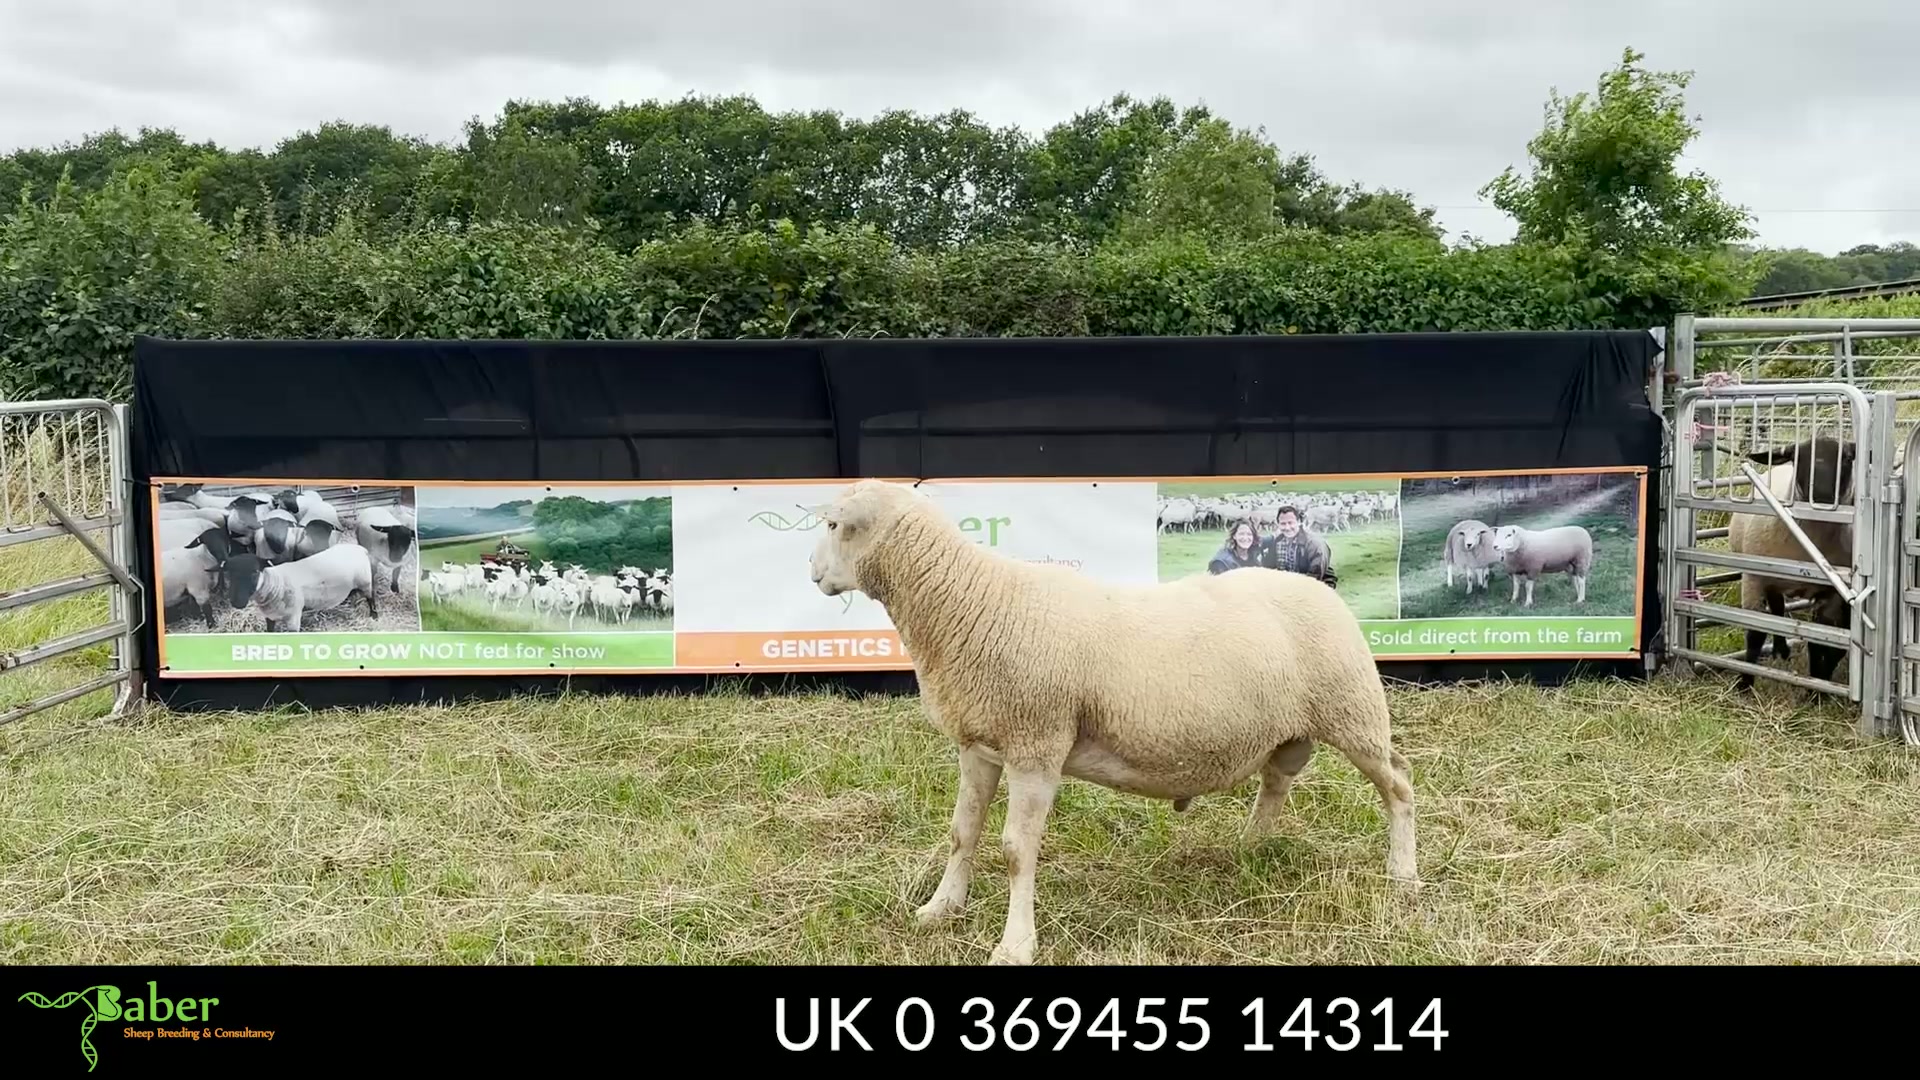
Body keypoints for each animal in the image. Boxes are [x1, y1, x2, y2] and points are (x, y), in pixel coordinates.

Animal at [221, 543, 376, 632]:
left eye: (255, 571)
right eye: (228, 573)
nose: (237, 602)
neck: (276, 583)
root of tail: (360, 548)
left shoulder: (293, 619)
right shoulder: (269, 616)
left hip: (365, 581)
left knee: (371, 597)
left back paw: (374, 615)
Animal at [804, 479, 1417, 966]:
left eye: (835, 524)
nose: (811, 574)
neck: (969, 602)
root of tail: (1322, 586)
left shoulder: (1037, 744)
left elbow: (1015, 850)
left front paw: (1014, 945)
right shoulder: (979, 742)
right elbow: (962, 832)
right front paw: (940, 908)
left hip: (1354, 710)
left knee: (1399, 785)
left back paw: (1403, 873)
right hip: (1288, 723)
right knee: (1276, 782)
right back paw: (1249, 848)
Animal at [1727, 436, 1858, 690]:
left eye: (1847, 458)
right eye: (1797, 458)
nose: (1822, 496)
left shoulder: (1830, 593)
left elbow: (1819, 640)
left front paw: (1817, 686)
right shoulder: (1754, 578)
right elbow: (1755, 633)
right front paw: (1745, 683)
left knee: (1779, 612)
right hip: (1771, 580)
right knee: (1777, 612)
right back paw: (1780, 651)